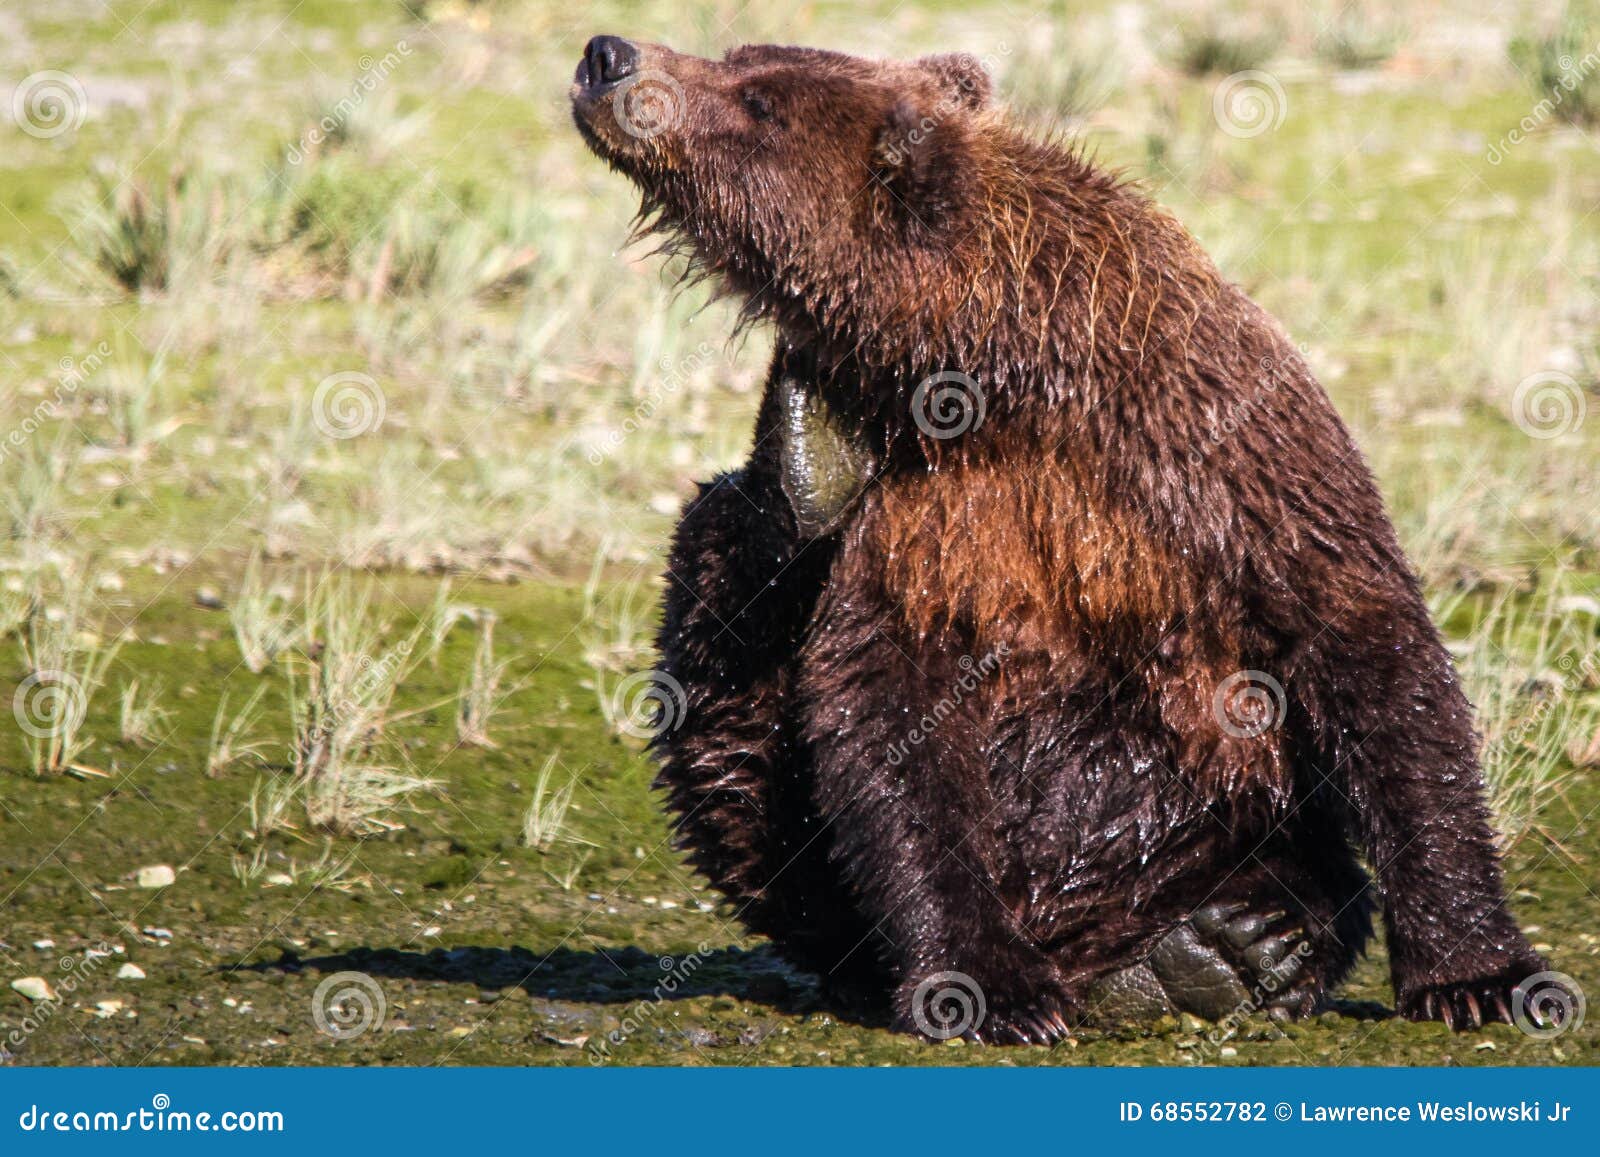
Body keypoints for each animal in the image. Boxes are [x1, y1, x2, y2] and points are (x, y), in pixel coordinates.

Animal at [571, 35, 1553, 1043]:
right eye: (740, 57)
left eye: (758, 96)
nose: (610, 54)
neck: (998, 368)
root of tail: (1098, 957)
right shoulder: (930, 514)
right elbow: (888, 707)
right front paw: (992, 986)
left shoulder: (1218, 443)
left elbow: (1368, 645)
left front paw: (1480, 972)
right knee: (725, 613)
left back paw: (1243, 938)